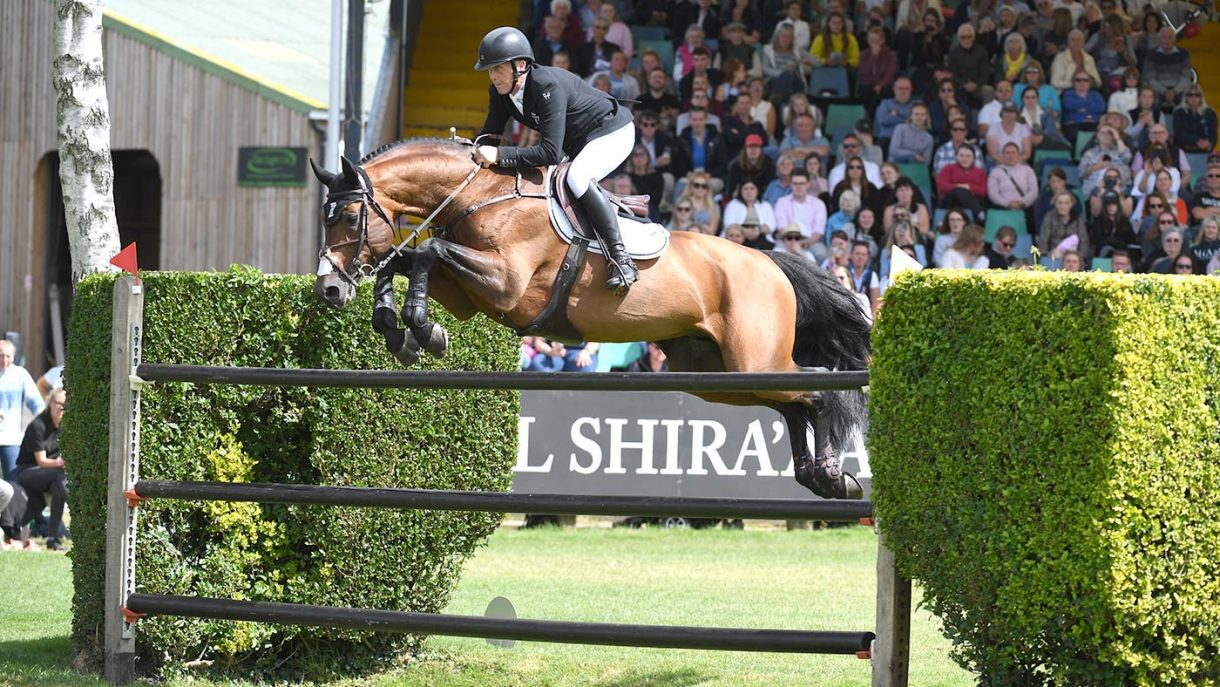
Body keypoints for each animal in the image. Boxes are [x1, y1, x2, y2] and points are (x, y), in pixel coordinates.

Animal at [310, 138, 872, 499]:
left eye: (349, 216)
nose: (328, 290)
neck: (479, 196)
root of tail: (769, 260)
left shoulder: (505, 285)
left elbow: (426, 253)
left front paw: (422, 327)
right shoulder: (471, 292)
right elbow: (407, 260)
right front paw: (397, 328)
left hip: (753, 360)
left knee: (821, 389)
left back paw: (830, 473)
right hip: (718, 374)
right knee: (793, 402)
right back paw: (823, 478)